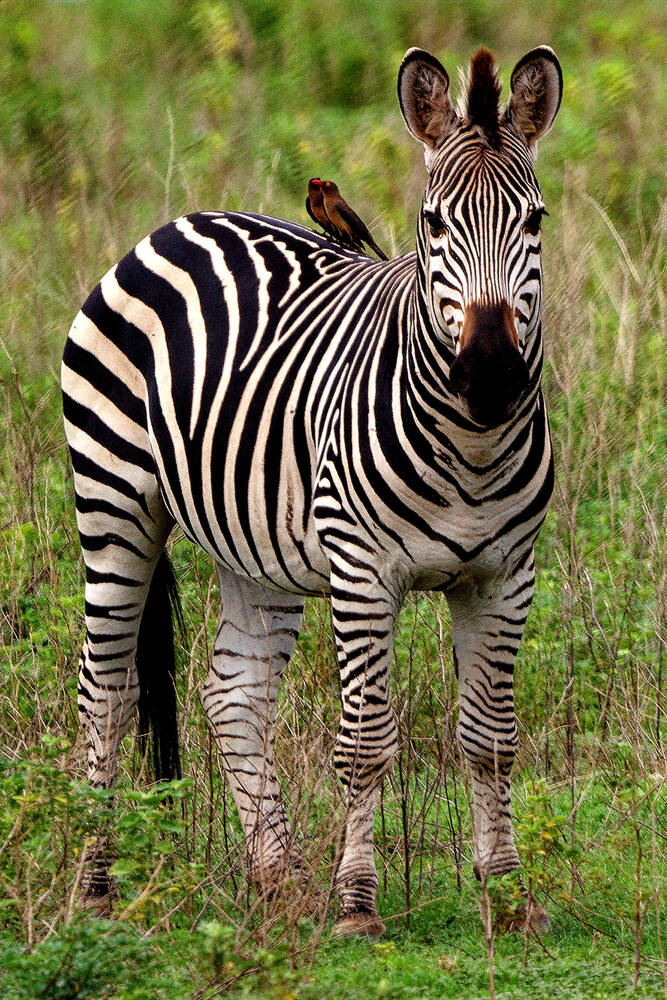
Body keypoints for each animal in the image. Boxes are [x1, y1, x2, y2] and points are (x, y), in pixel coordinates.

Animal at [62, 45, 562, 936]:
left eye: (534, 222)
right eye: (433, 224)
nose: (490, 378)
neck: (470, 449)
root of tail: (178, 223)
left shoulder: (505, 577)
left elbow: (490, 739)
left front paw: (507, 898)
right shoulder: (364, 574)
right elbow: (364, 744)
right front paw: (357, 906)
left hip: (252, 545)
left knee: (232, 694)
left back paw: (279, 881)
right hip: (113, 496)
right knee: (106, 694)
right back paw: (95, 891)